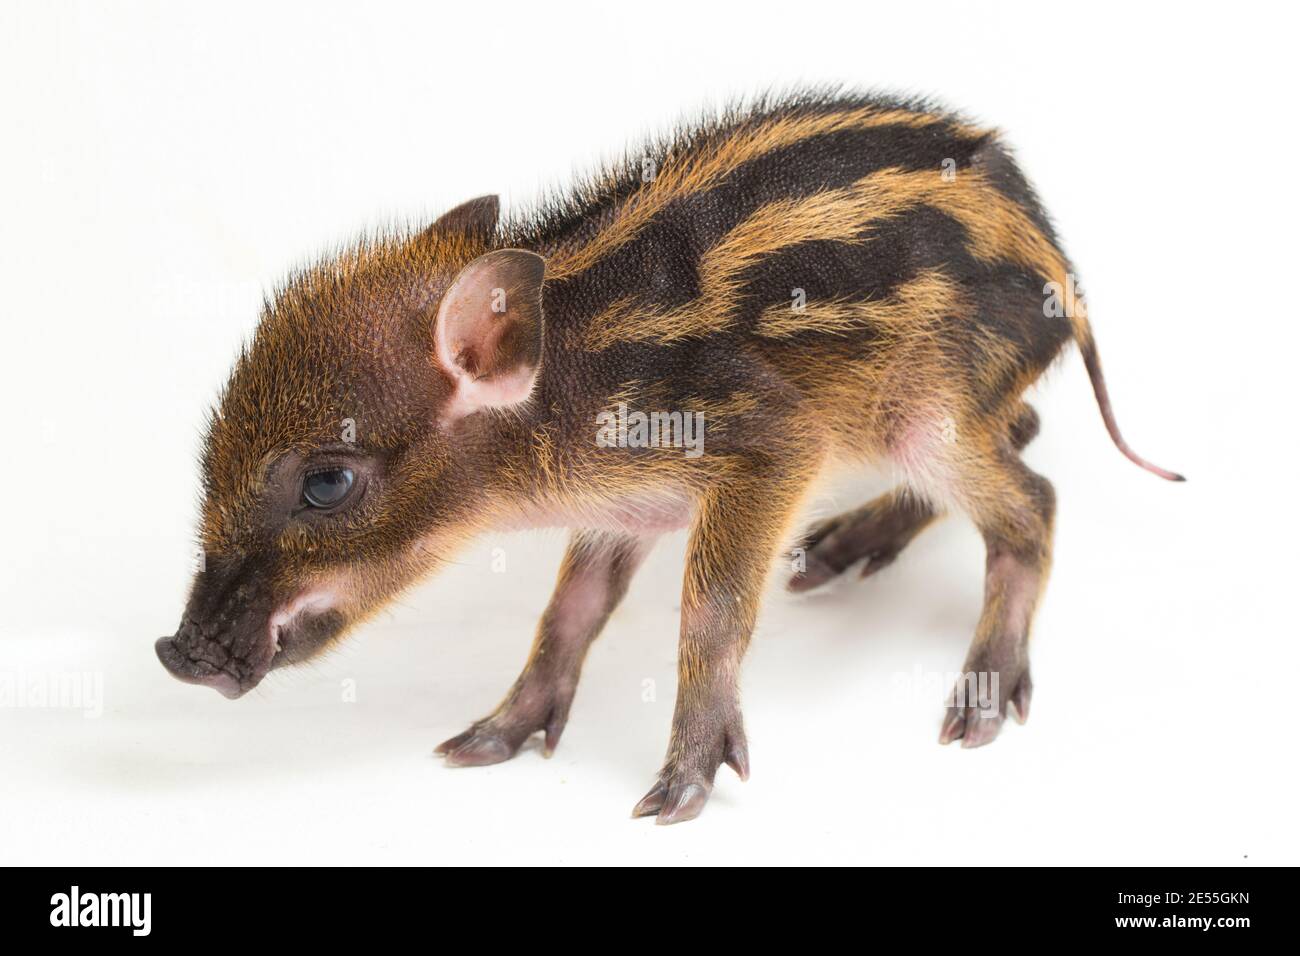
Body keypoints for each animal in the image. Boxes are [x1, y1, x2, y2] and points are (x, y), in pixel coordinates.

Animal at [156, 90, 1182, 824]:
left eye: (326, 482)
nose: (178, 654)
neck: (563, 392)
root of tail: (1066, 277)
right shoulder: (628, 508)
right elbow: (568, 612)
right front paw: (488, 739)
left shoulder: (767, 445)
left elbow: (711, 609)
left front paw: (679, 792)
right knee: (1028, 433)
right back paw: (834, 555)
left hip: (924, 416)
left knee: (1035, 499)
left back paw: (978, 709)